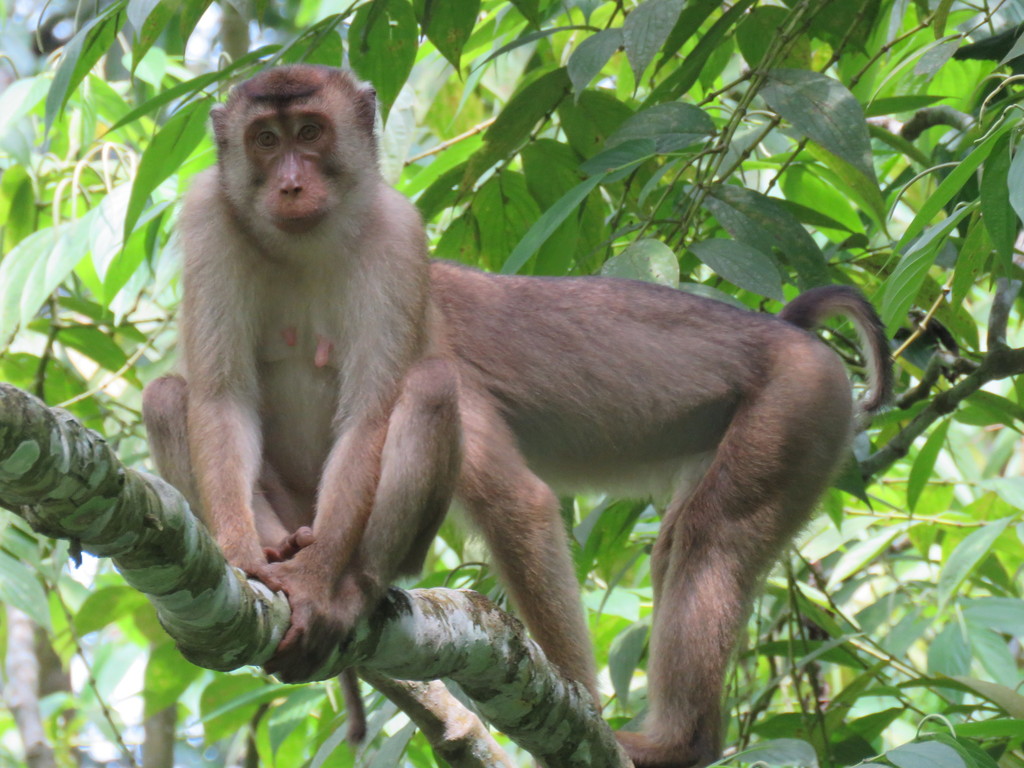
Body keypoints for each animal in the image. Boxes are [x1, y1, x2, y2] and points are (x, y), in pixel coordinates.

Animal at [141, 65, 892, 768]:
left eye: (310, 133)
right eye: (265, 142)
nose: (291, 186)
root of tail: (791, 336)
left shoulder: (414, 288)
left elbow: (513, 500)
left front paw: (580, 705)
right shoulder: (211, 220)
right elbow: (219, 399)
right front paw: (254, 562)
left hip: (798, 404)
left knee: (710, 534)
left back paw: (679, 741)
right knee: (169, 397)